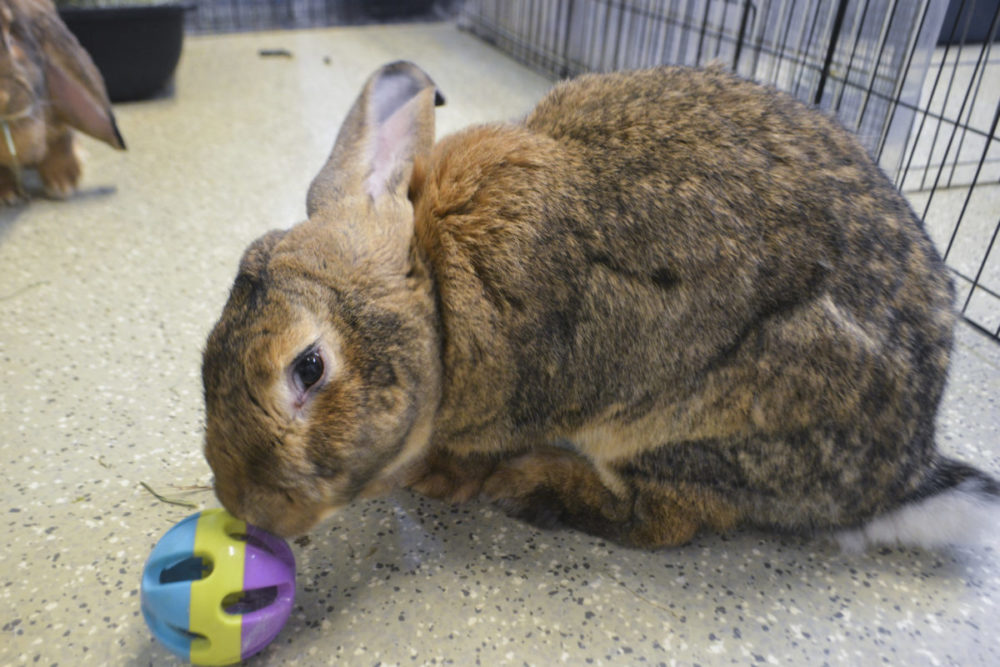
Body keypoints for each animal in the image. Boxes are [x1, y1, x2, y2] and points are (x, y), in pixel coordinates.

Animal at [0, 0, 124, 203]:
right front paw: (8, 196)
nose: (2, 97)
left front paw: (63, 187)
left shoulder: (61, 123)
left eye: (11, 39)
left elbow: (60, 143)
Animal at [202, 60, 999, 550]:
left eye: (309, 367)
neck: (436, 289)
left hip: (701, 419)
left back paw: (535, 489)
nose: (251, 511)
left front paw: (443, 479)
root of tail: (901, 477)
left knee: (666, 519)